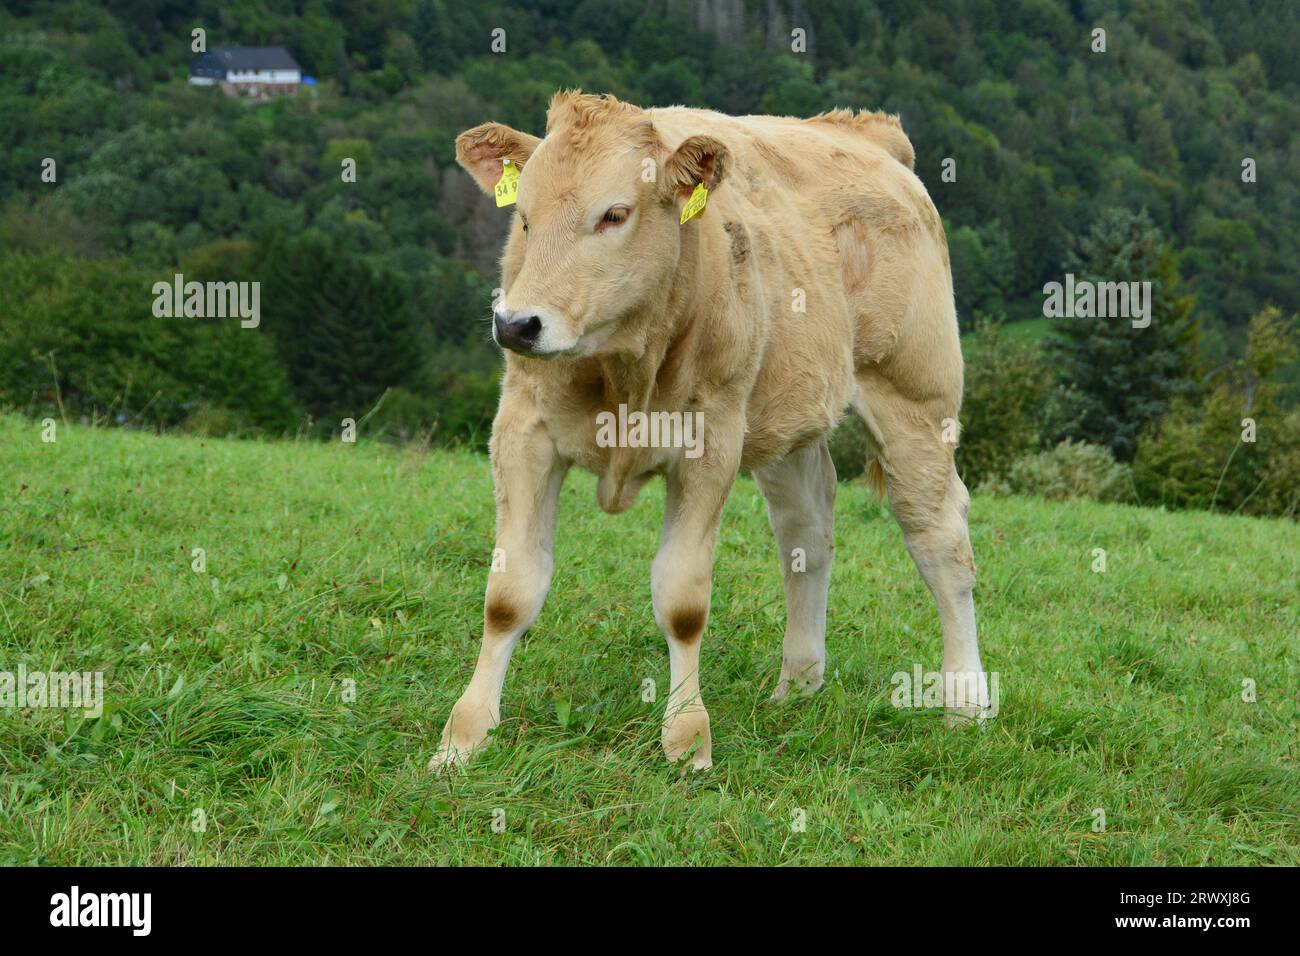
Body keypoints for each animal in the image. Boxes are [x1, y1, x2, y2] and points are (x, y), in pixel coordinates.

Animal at [431, 90, 989, 771]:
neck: (624, 367)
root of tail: (865, 132)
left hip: (915, 400)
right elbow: (509, 593)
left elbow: (682, 600)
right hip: (786, 412)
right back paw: (798, 684)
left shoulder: (711, 441)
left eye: (614, 214)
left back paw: (965, 703)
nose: (516, 325)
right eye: (526, 219)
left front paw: (686, 736)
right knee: (807, 531)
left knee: (940, 540)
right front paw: (464, 737)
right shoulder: (522, 430)